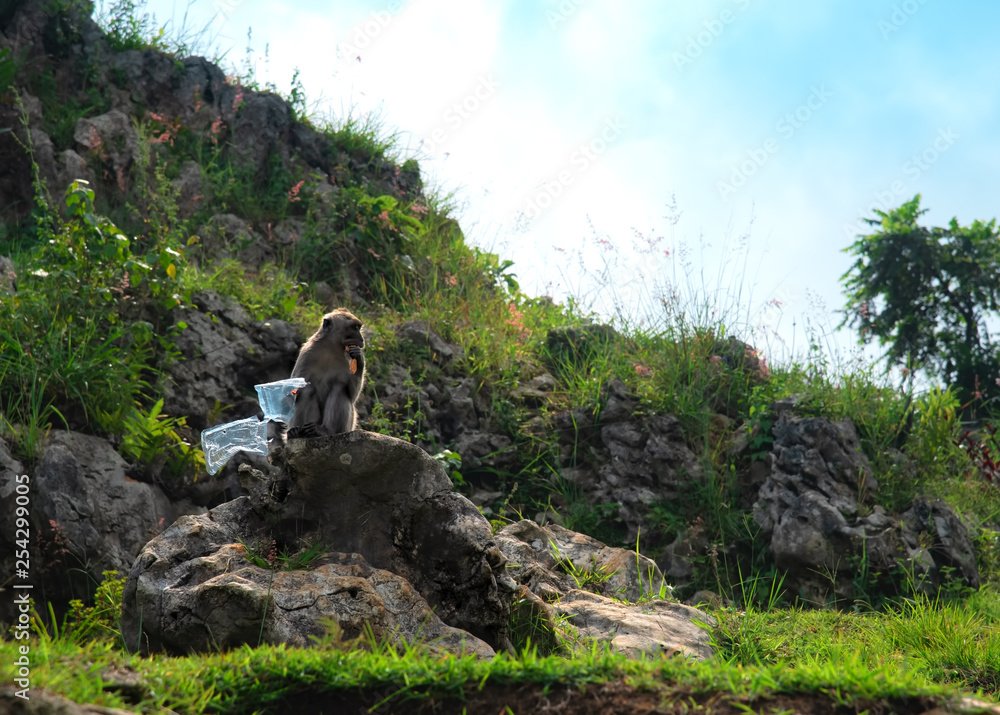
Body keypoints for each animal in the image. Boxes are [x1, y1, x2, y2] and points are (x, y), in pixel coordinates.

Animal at [285, 308, 366, 438]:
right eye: (354, 328)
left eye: (358, 327)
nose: (361, 338)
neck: (331, 349)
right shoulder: (307, 353)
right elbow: (296, 391)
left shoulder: (348, 359)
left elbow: (352, 395)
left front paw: (359, 359)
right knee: (307, 390)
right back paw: (297, 432)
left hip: (347, 428)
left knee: (339, 388)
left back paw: (326, 431)